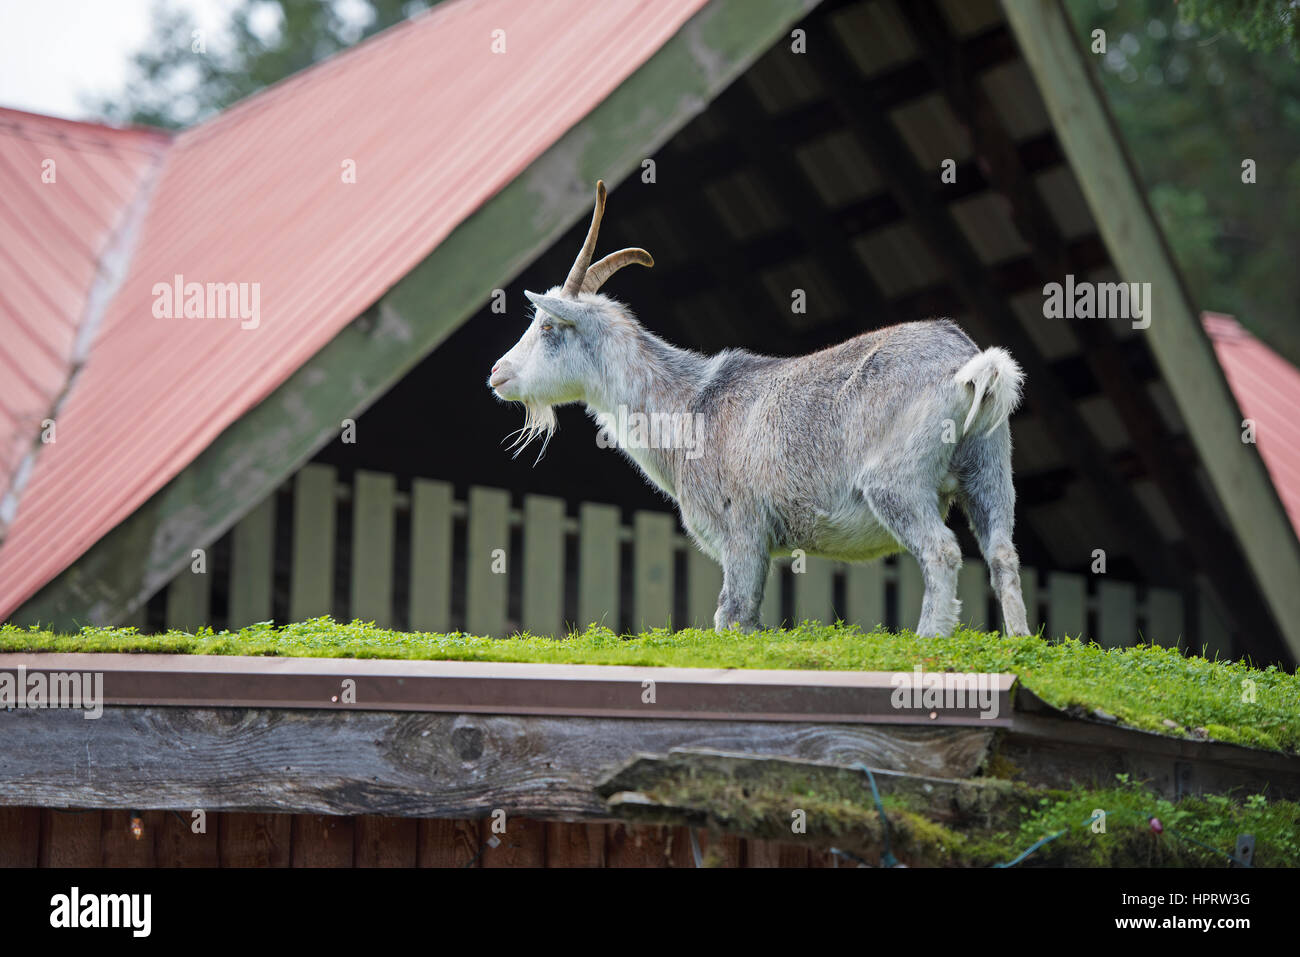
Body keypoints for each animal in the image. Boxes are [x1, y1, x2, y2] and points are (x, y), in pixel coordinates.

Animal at [489, 181, 1030, 637]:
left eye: (547, 326)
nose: (497, 374)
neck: (688, 405)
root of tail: (969, 365)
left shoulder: (743, 531)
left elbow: (730, 614)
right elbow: (746, 618)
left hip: (896, 479)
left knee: (941, 550)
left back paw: (929, 640)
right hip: (989, 467)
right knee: (1003, 552)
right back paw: (1018, 641)